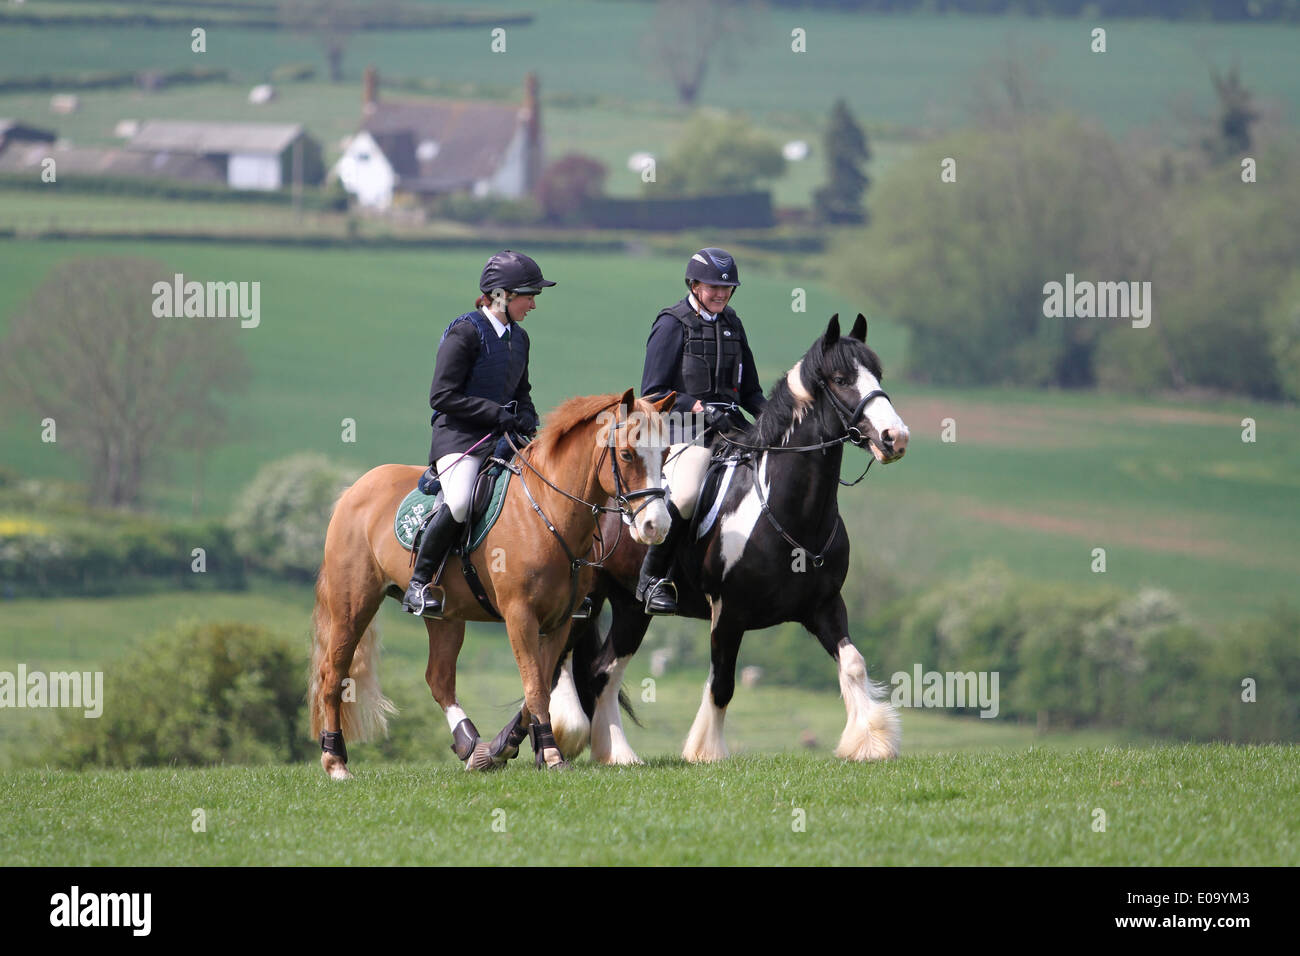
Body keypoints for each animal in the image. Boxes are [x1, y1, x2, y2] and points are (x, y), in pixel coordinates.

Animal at [308, 388, 674, 778]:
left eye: (666, 452)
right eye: (627, 454)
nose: (656, 526)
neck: (547, 512)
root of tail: (354, 489)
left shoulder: (560, 622)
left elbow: (539, 685)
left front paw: (503, 749)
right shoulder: (519, 616)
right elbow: (535, 686)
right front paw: (551, 754)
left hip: (445, 616)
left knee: (439, 678)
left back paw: (471, 746)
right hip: (353, 605)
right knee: (333, 675)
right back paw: (335, 762)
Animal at [548, 315, 908, 765]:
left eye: (877, 375)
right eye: (841, 379)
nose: (896, 437)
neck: (789, 512)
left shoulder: (824, 605)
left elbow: (854, 663)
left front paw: (870, 742)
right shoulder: (729, 612)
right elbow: (722, 684)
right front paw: (706, 751)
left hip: (632, 606)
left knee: (602, 672)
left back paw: (619, 755)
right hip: (586, 595)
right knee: (560, 658)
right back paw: (567, 732)